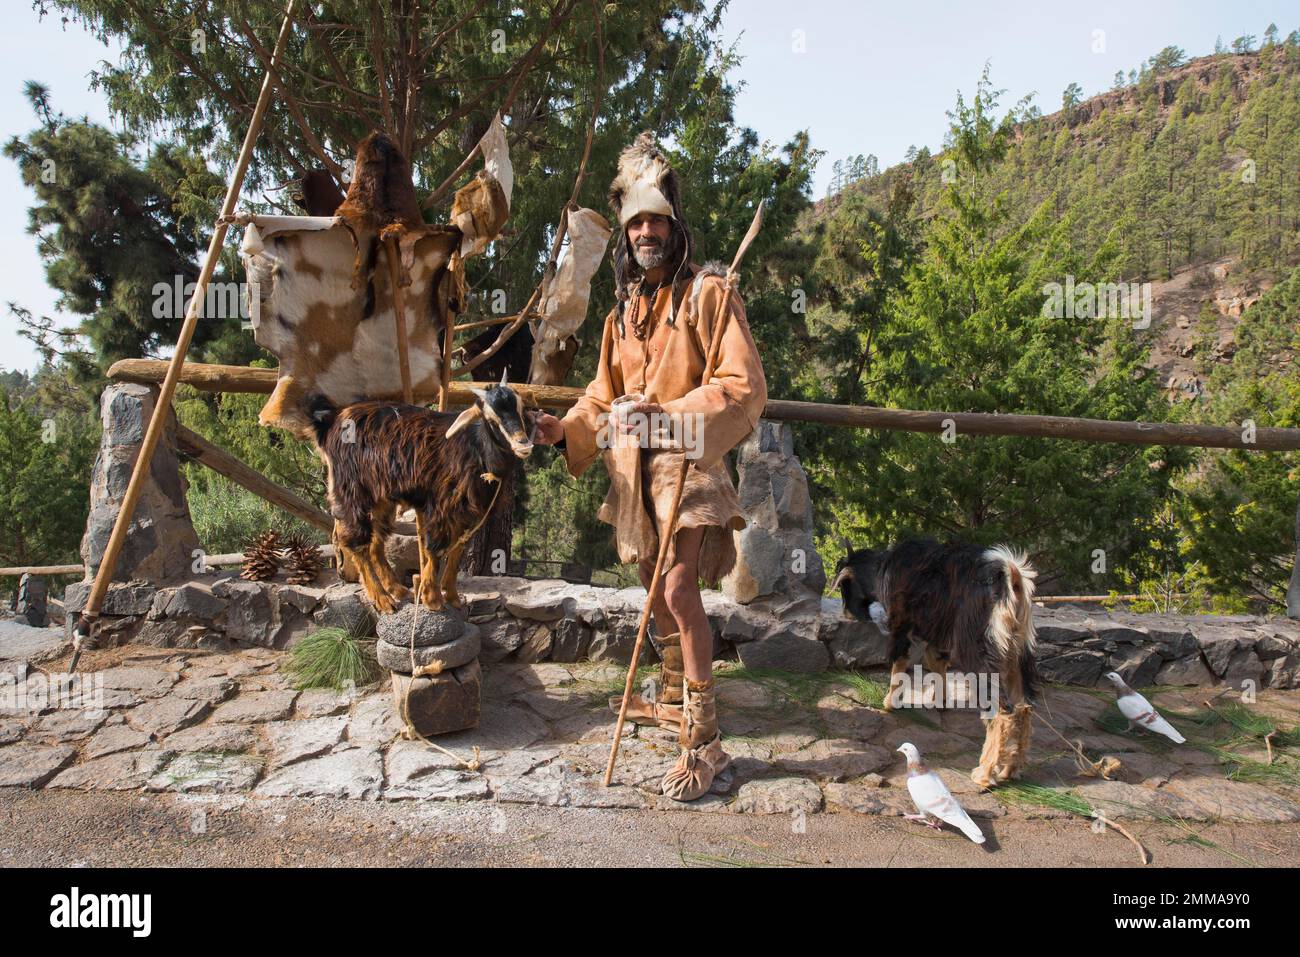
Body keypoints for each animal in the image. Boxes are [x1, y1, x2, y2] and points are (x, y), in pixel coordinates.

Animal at [310, 373, 533, 613]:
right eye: (491, 418)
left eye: (520, 408)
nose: (523, 445)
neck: (476, 448)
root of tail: (330, 422)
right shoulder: (442, 506)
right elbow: (435, 549)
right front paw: (431, 597)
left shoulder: (470, 511)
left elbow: (458, 550)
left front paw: (452, 595)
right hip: (352, 489)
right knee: (355, 541)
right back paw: (383, 599)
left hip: (382, 498)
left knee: (376, 543)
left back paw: (398, 590)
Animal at [831, 538, 1039, 789]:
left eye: (844, 587)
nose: (846, 614)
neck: (883, 568)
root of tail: (1011, 576)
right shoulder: (936, 632)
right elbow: (936, 662)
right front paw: (940, 700)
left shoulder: (901, 622)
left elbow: (899, 660)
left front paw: (890, 703)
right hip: (1018, 654)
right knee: (1024, 707)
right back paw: (1011, 768)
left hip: (979, 650)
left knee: (1001, 711)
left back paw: (984, 774)